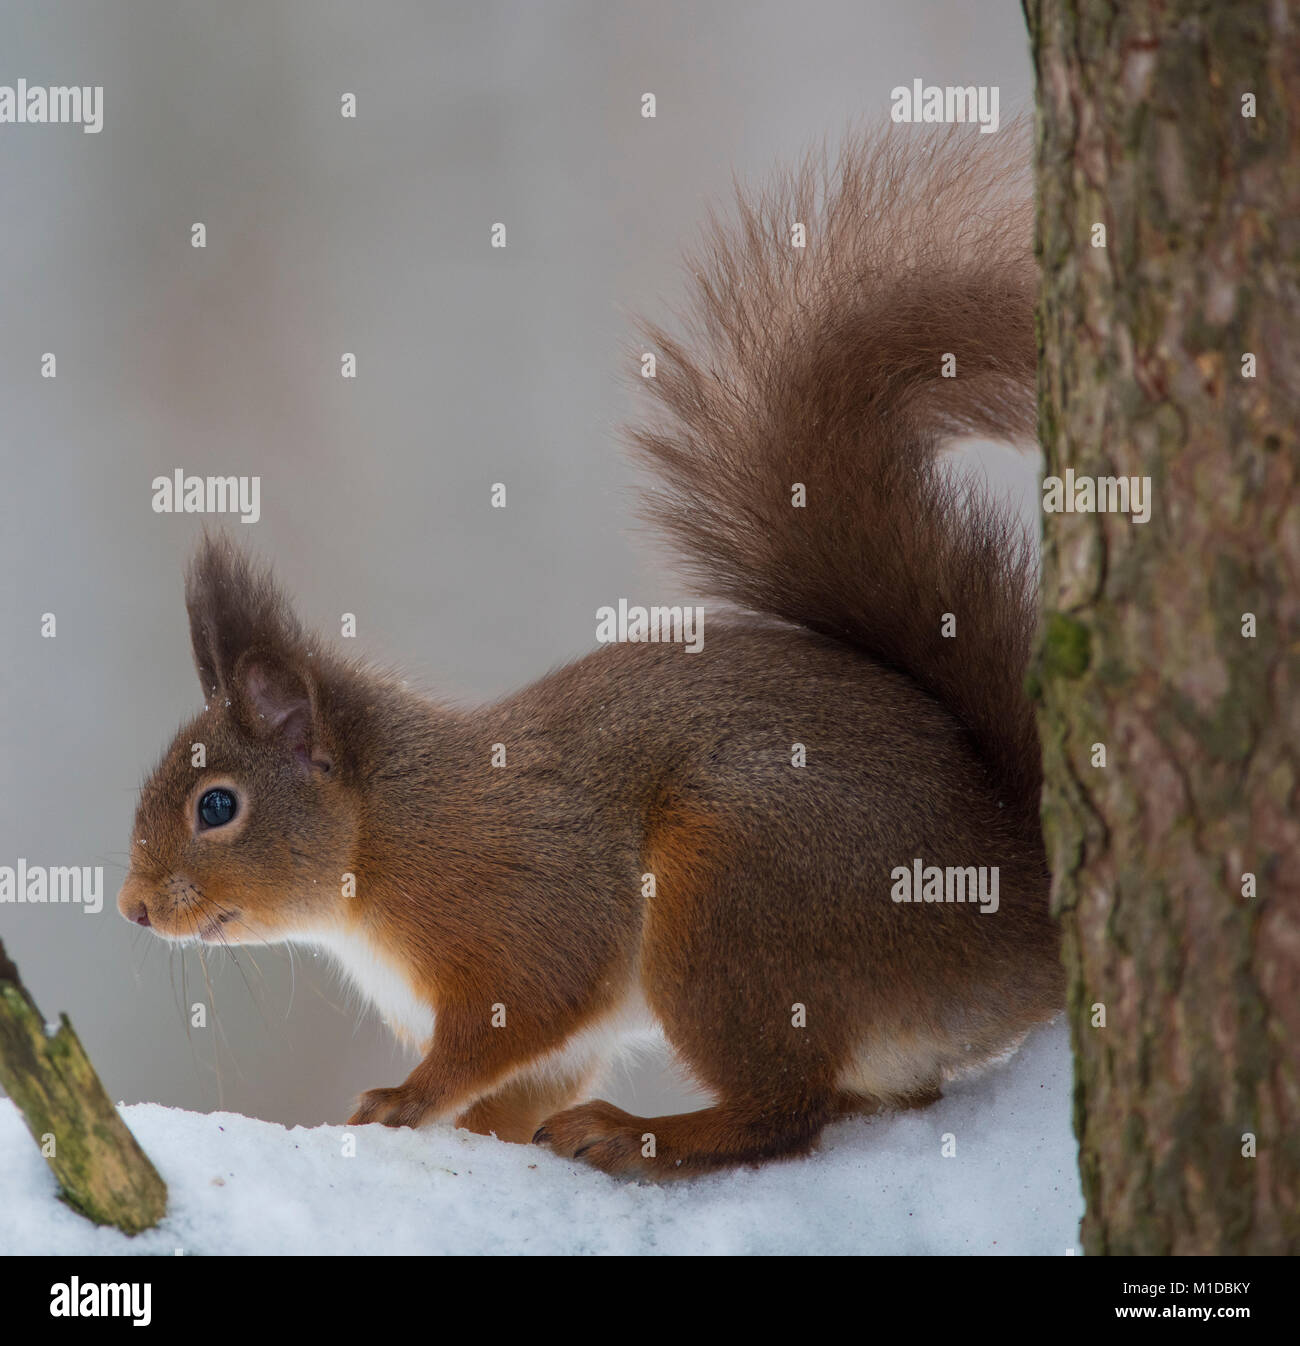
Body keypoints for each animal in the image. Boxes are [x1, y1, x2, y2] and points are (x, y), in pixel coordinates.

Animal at [117, 123, 1062, 1175]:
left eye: (218, 806)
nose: (133, 908)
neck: (387, 830)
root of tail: (1016, 907)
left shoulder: (520, 909)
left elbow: (517, 1014)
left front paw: (404, 1099)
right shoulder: (550, 1036)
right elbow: (522, 1085)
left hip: (737, 891)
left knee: (782, 1112)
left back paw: (638, 1135)